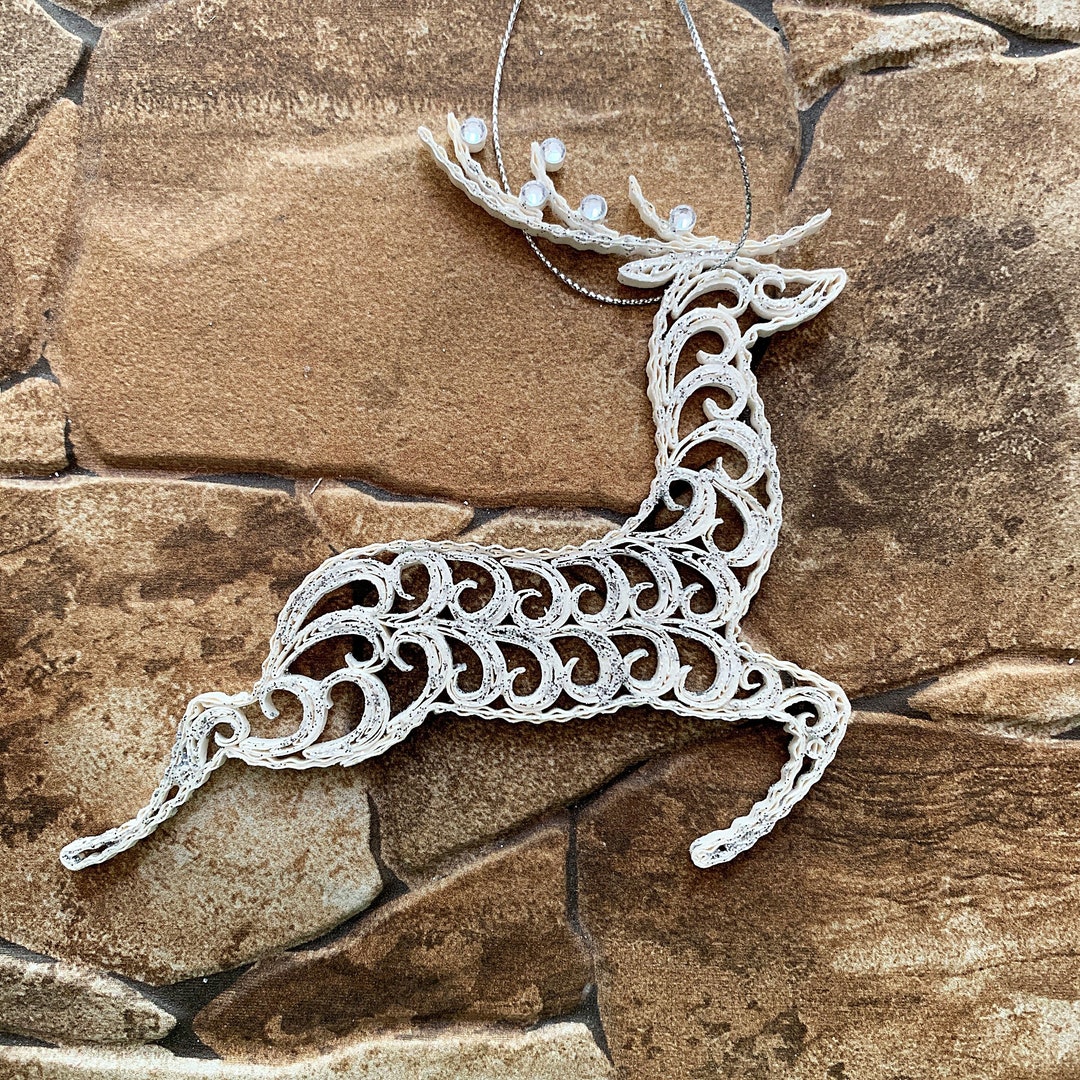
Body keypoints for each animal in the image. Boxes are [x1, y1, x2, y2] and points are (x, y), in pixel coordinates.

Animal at [60, 114, 849, 872]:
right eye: (754, 279)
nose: (831, 279)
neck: (700, 523)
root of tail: (311, 604)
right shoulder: (702, 666)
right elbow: (819, 707)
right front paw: (720, 844)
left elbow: (818, 706)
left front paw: (723, 838)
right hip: (346, 706)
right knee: (214, 720)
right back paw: (94, 849)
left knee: (214, 718)